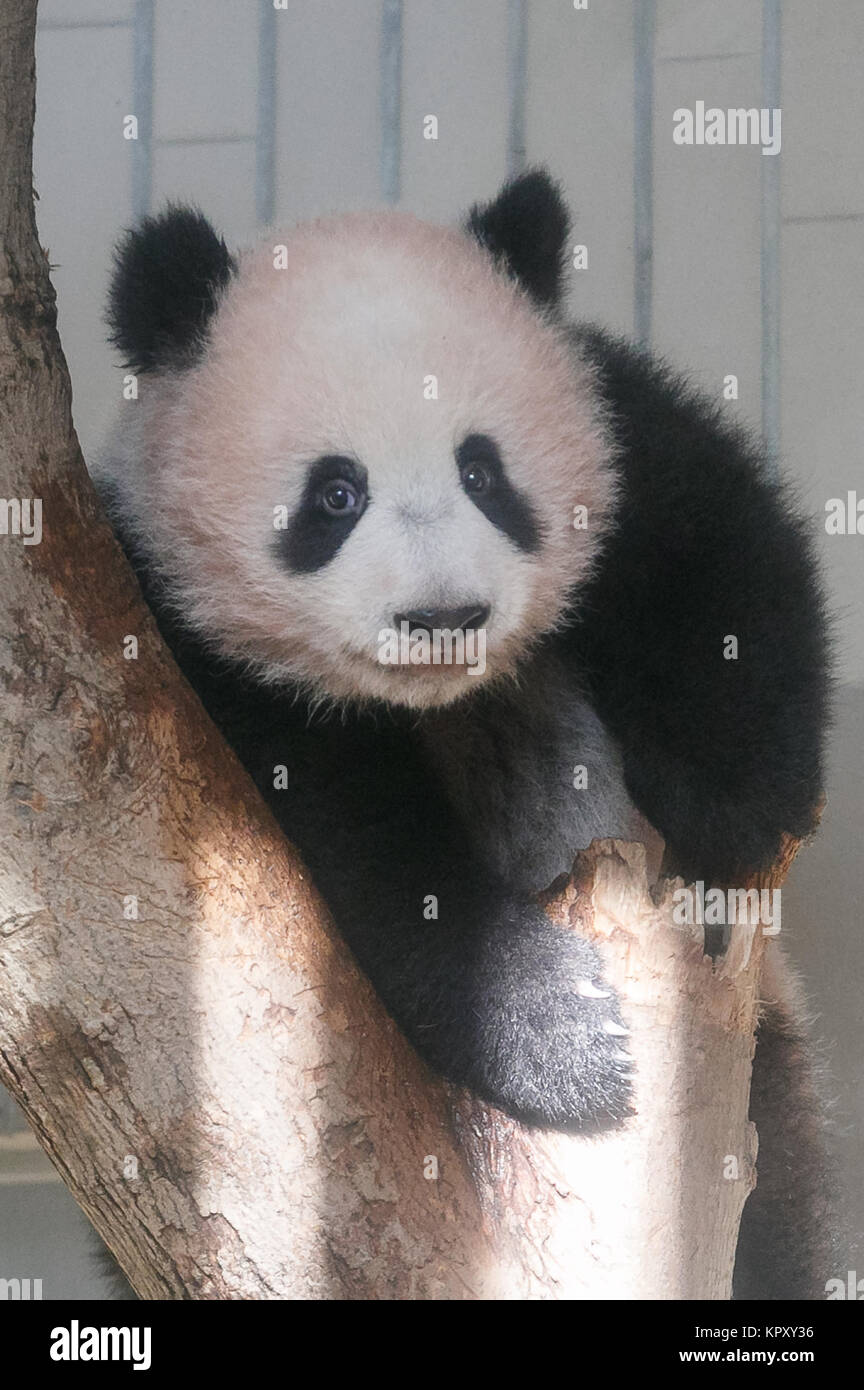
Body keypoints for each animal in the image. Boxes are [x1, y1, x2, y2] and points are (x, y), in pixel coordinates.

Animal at [96, 170, 834, 1300]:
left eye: (483, 472)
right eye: (336, 493)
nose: (444, 616)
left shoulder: (616, 425)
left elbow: (725, 556)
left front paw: (727, 819)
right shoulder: (187, 650)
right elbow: (362, 849)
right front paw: (562, 1037)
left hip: (772, 1055)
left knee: (787, 1190)